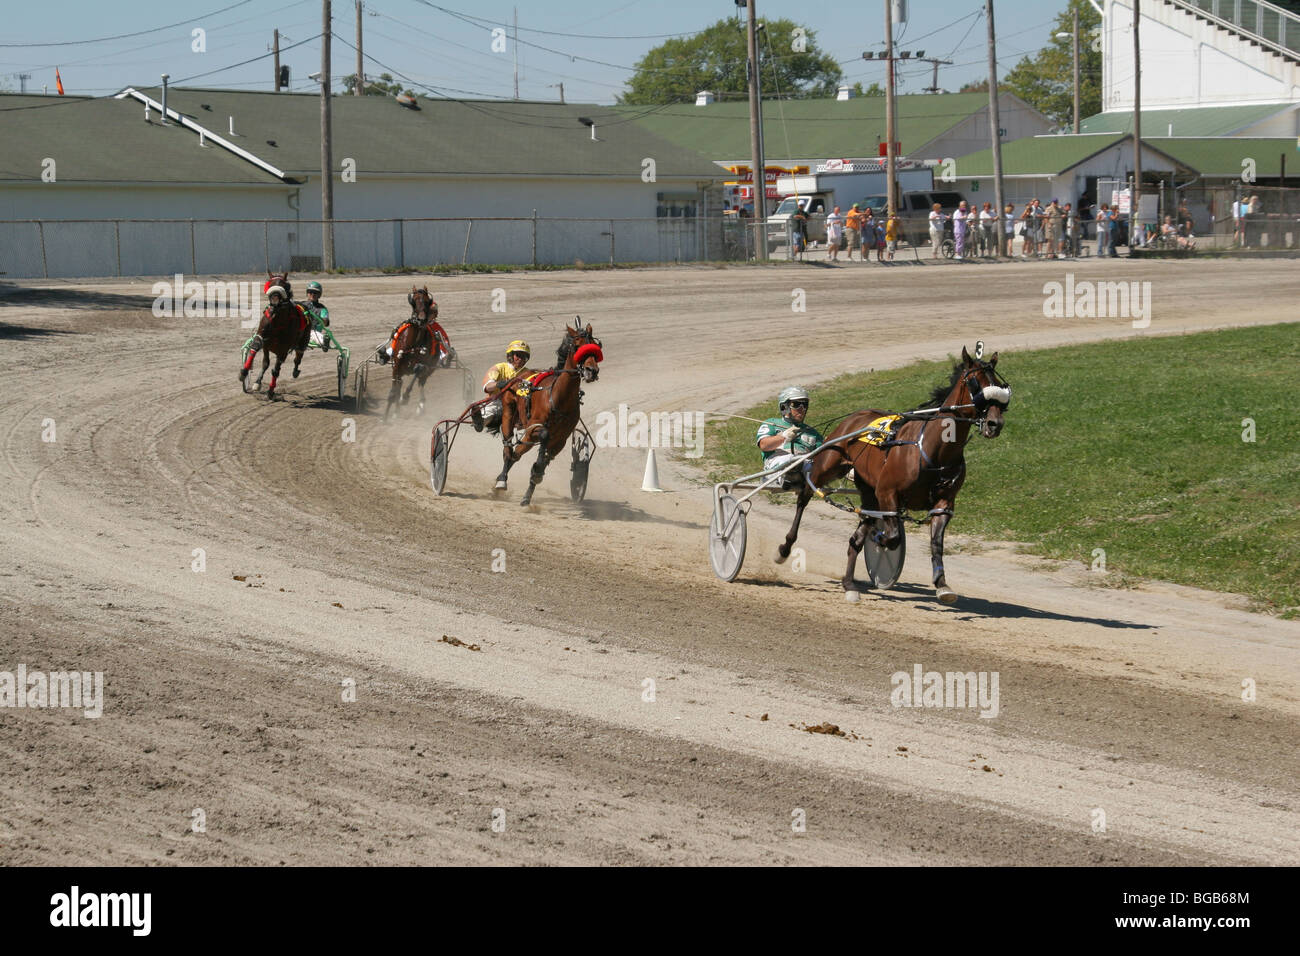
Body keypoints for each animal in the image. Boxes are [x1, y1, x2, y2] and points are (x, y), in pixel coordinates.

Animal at [384, 283, 447, 418]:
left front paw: (405, 396)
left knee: (421, 381)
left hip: (430, 369)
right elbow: (393, 390)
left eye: (428, 301)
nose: (421, 320)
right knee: (400, 383)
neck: (414, 343)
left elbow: (418, 370)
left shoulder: (424, 364)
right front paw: (386, 416)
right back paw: (396, 410)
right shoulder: (397, 364)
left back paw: (420, 405)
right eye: (414, 300)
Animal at [493, 321, 600, 509]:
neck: (558, 398)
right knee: (508, 449)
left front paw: (528, 494)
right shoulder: (535, 428)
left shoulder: (560, 439)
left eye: (595, 346)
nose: (591, 371)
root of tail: (520, 375)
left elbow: (542, 463)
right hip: (510, 414)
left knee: (517, 454)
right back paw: (502, 480)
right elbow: (543, 435)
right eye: (577, 345)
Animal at [774, 348, 1008, 606]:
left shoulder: (943, 504)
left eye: (1000, 386)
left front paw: (942, 585)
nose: (994, 423)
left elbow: (936, 543)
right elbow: (893, 537)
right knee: (805, 494)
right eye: (976, 383)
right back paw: (785, 548)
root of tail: (854, 417)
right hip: (829, 464)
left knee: (856, 535)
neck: (934, 450)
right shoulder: (887, 493)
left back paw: (849, 584)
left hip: (868, 489)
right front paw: (879, 539)